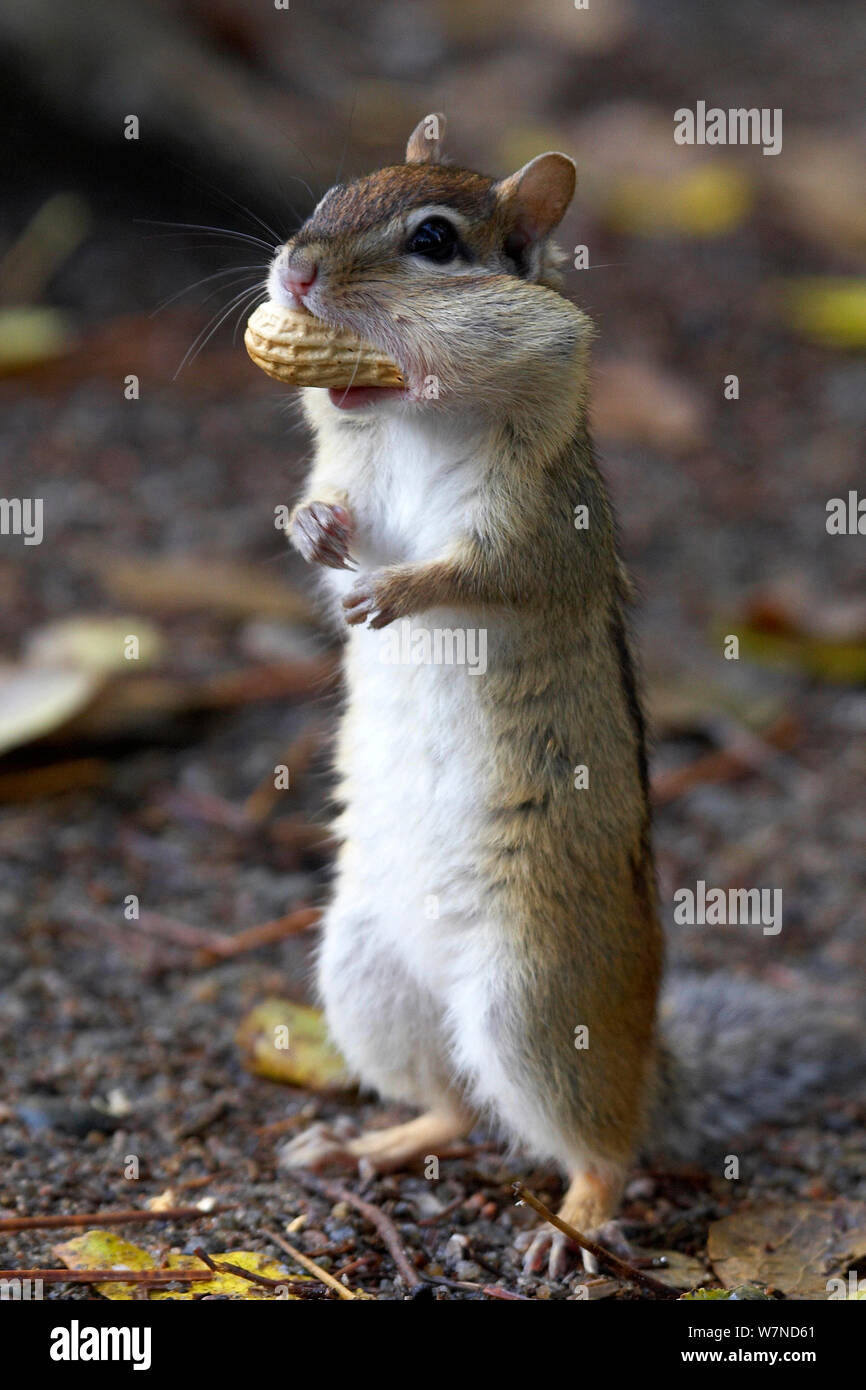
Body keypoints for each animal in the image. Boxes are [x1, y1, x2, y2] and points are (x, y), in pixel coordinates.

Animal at [268, 115, 862, 1278]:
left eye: (436, 242)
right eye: (324, 197)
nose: (297, 272)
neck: (412, 421)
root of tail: (648, 1058)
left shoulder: (543, 522)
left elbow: (488, 576)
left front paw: (402, 590)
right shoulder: (356, 476)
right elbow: (329, 532)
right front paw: (314, 529)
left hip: (533, 1005)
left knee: (600, 1141)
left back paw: (577, 1220)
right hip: (363, 978)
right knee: (454, 1106)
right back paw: (367, 1143)